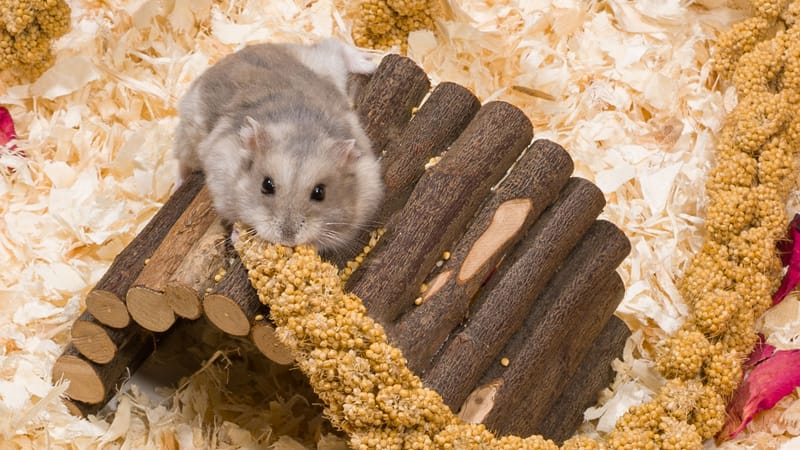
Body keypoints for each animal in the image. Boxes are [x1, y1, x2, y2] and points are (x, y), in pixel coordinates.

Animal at [173, 39, 383, 255]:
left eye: (320, 193)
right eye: (266, 185)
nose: (287, 239)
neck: (301, 129)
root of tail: (234, 55)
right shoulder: (221, 179)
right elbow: (233, 216)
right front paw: (238, 235)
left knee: (333, 46)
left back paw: (370, 64)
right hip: (189, 134)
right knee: (181, 161)